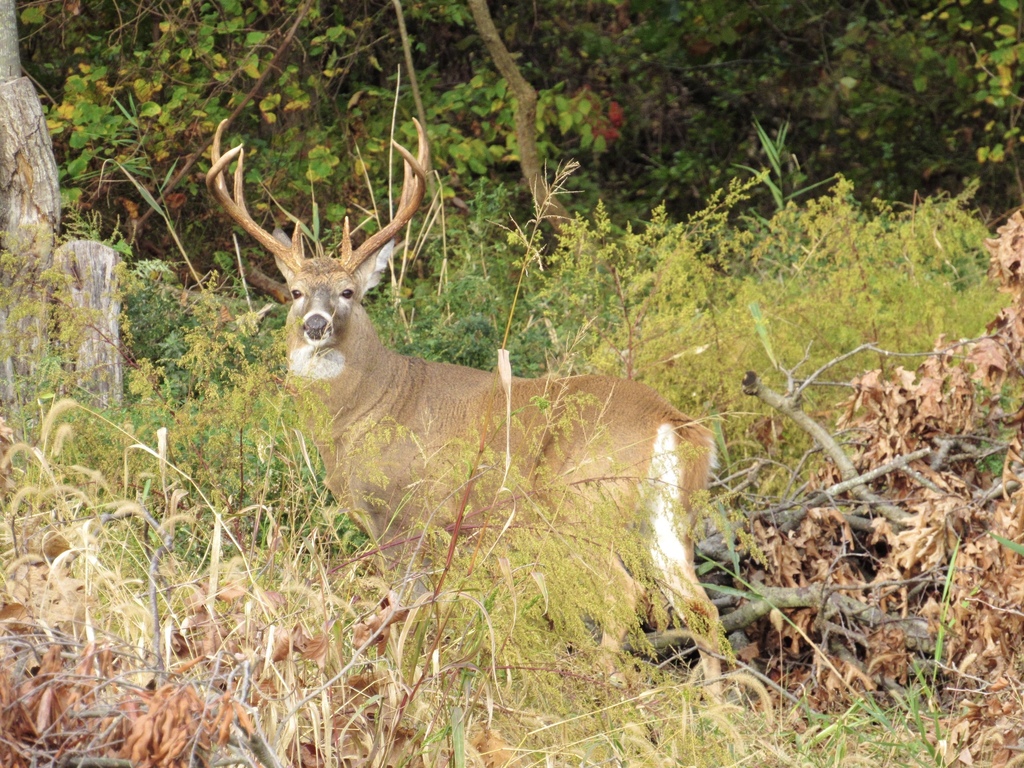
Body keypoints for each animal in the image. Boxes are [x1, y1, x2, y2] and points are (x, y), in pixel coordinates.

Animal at [206, 118, 723, 685]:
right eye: (296, 291)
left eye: (348, 292)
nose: (316, 325)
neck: (364, 409)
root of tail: (670, 421)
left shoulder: (400, 512)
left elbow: (404, 605)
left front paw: (402, 679)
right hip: (666, 518)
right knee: (702, 609)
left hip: (581, 506)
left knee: (621, 595)